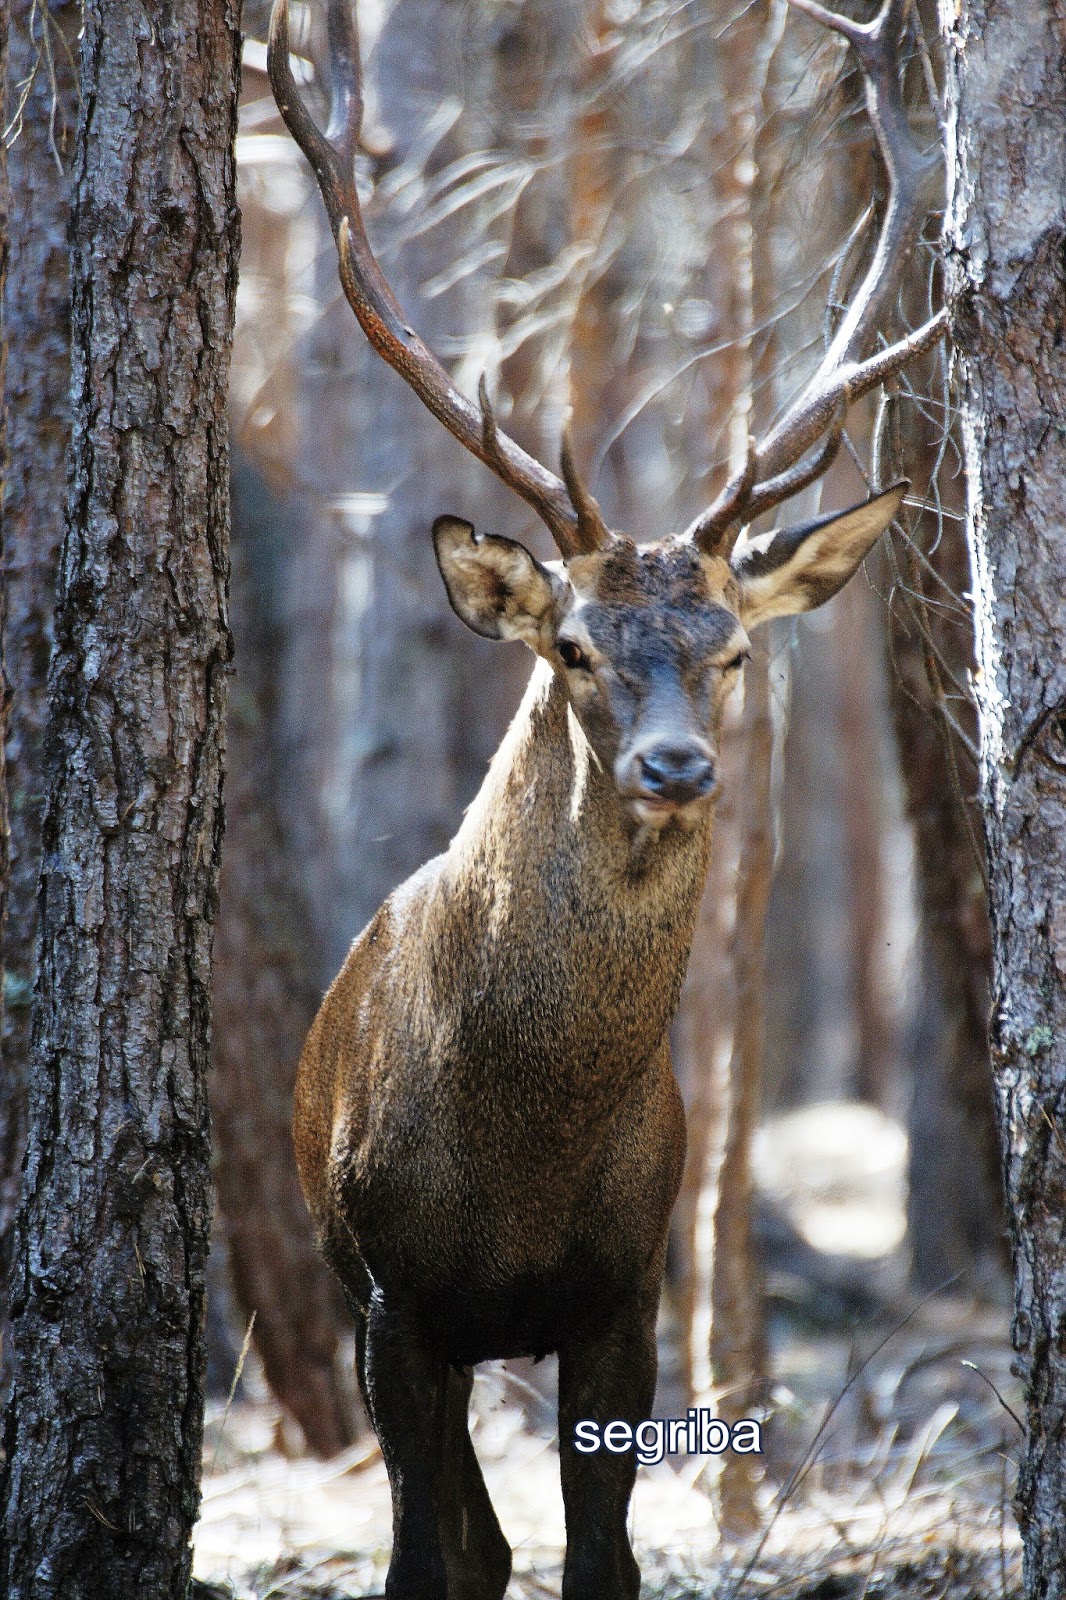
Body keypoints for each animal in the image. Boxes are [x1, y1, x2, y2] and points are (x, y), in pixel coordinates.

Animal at [267, 2, 945, 1596]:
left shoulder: (626, 1289)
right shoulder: (393, 1293)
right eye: (572, 644)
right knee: (466, 1538)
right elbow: (423, 1558)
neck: (524, 1155)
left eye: (735, 647)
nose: (675, 766)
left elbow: (599, 1560)